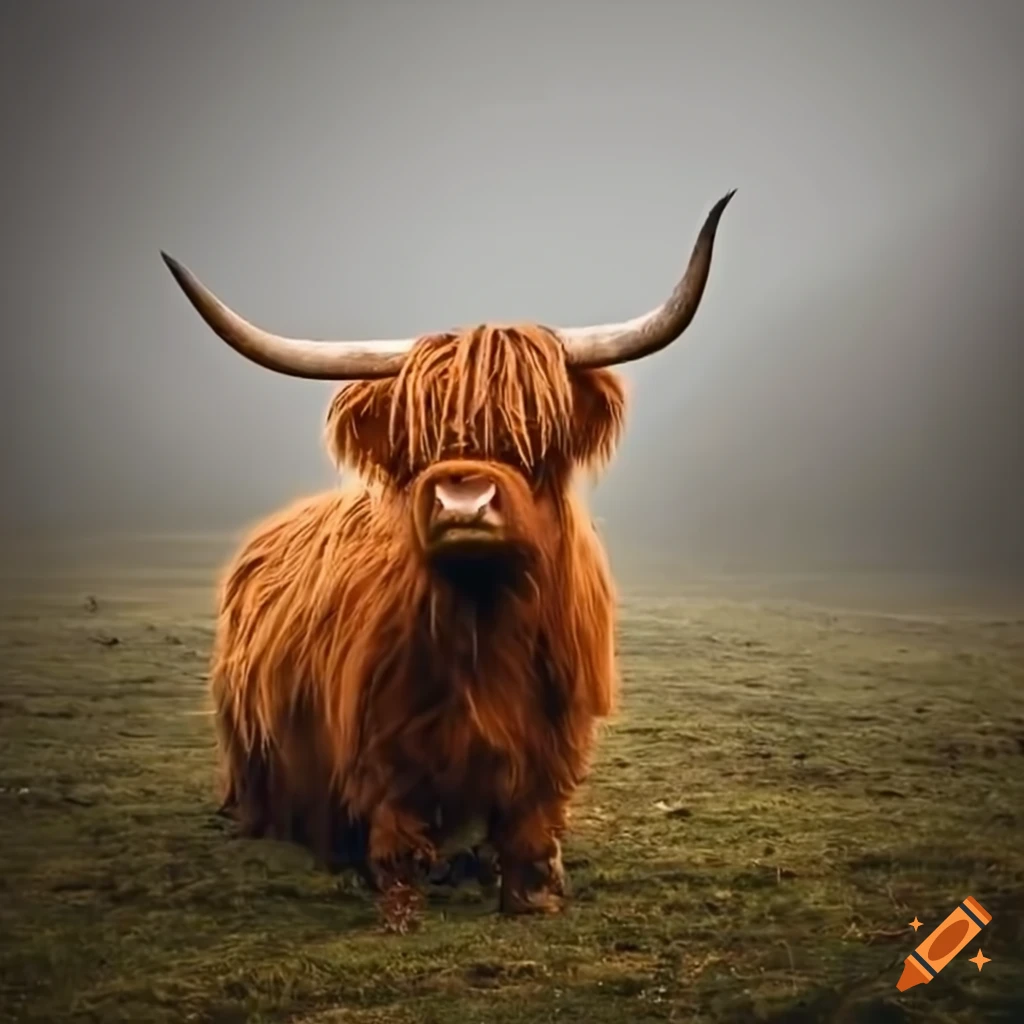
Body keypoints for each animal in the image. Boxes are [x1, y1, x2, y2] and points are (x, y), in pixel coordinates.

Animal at [160, 190, 734, 922]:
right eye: (417, 439)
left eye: (534, 434)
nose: (464, 502)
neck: (483, 624)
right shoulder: (382, 746)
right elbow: (397, 833)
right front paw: (399, 905)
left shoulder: (555, 738)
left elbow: (530, 827)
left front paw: (534, 896)